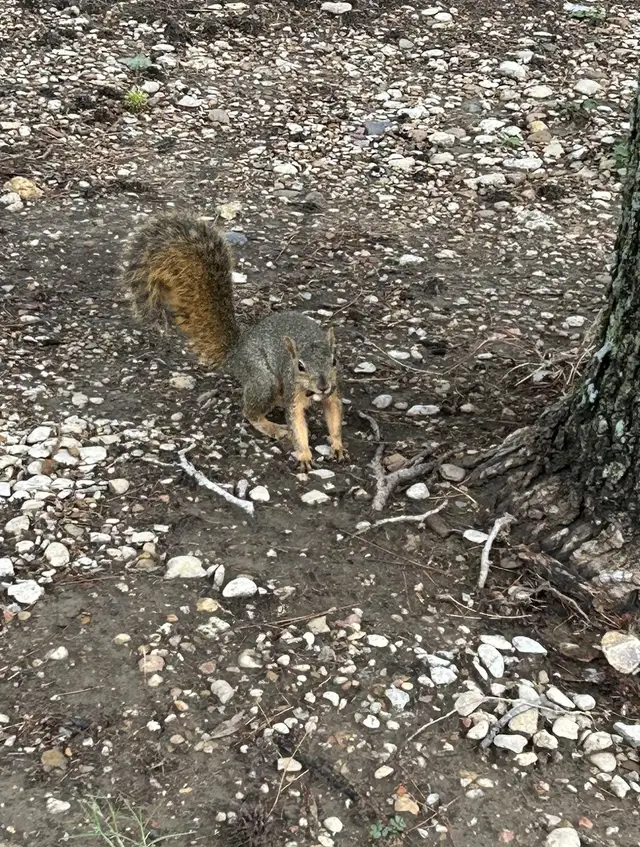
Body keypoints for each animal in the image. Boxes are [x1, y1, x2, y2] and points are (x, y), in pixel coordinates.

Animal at [120, 210, 347, 471]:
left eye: (334, 361)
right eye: (300, 366)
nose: (322, 385)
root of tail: (236, 352)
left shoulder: (334, 391)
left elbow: (334, 415)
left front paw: (338, 445)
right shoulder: (294, 392)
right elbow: (296, 425)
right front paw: (304, 455)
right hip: (263, 379)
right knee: (251, 412)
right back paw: (271, 426)